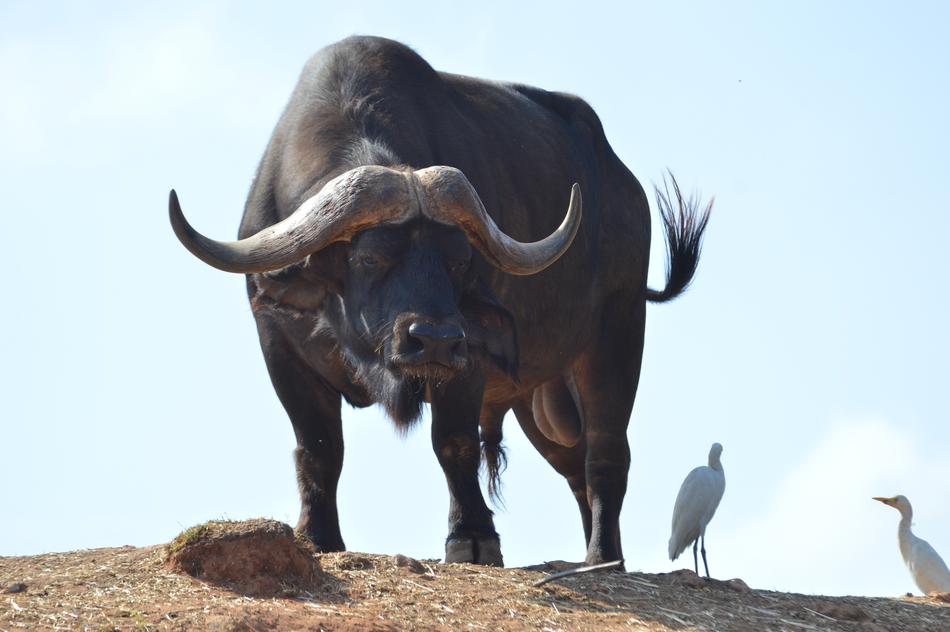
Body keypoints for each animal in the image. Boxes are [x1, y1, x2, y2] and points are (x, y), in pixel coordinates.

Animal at [170, 35, 710, 567]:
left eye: (459, 261)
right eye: (370, 257)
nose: (433, 340)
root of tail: (625, 187)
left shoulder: (467, 359)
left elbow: (453, 442)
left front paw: (472, 538)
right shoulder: (280, 346)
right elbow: (319, 447)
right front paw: (318, 535)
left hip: (617, 331)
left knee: (606, 454)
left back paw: (603, 557)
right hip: (542, 401)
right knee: (575, 468)